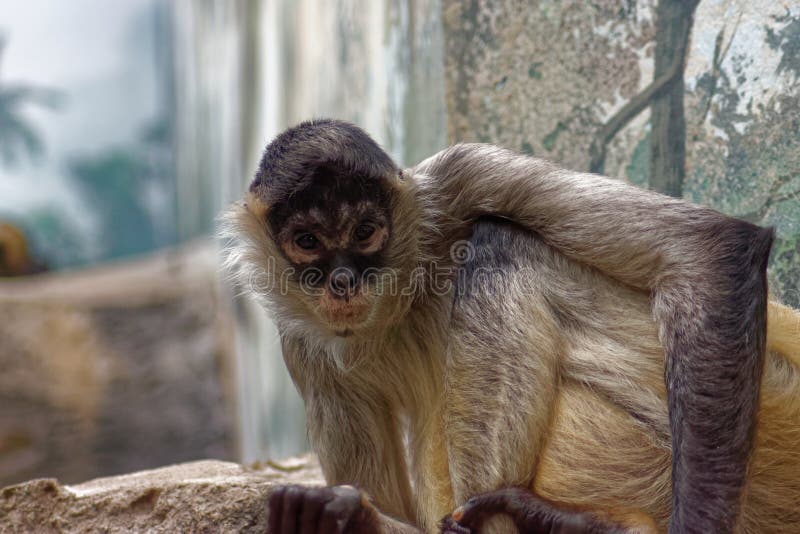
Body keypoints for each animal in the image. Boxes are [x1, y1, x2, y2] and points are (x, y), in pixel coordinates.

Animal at [220, 119, 798, 533]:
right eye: (307, 242)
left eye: (365, 232)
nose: (343, 280)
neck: (401, 299)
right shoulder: (304, 344)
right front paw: (345, 516)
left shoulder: (458, 174)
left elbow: (709, 248)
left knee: (501, 245)